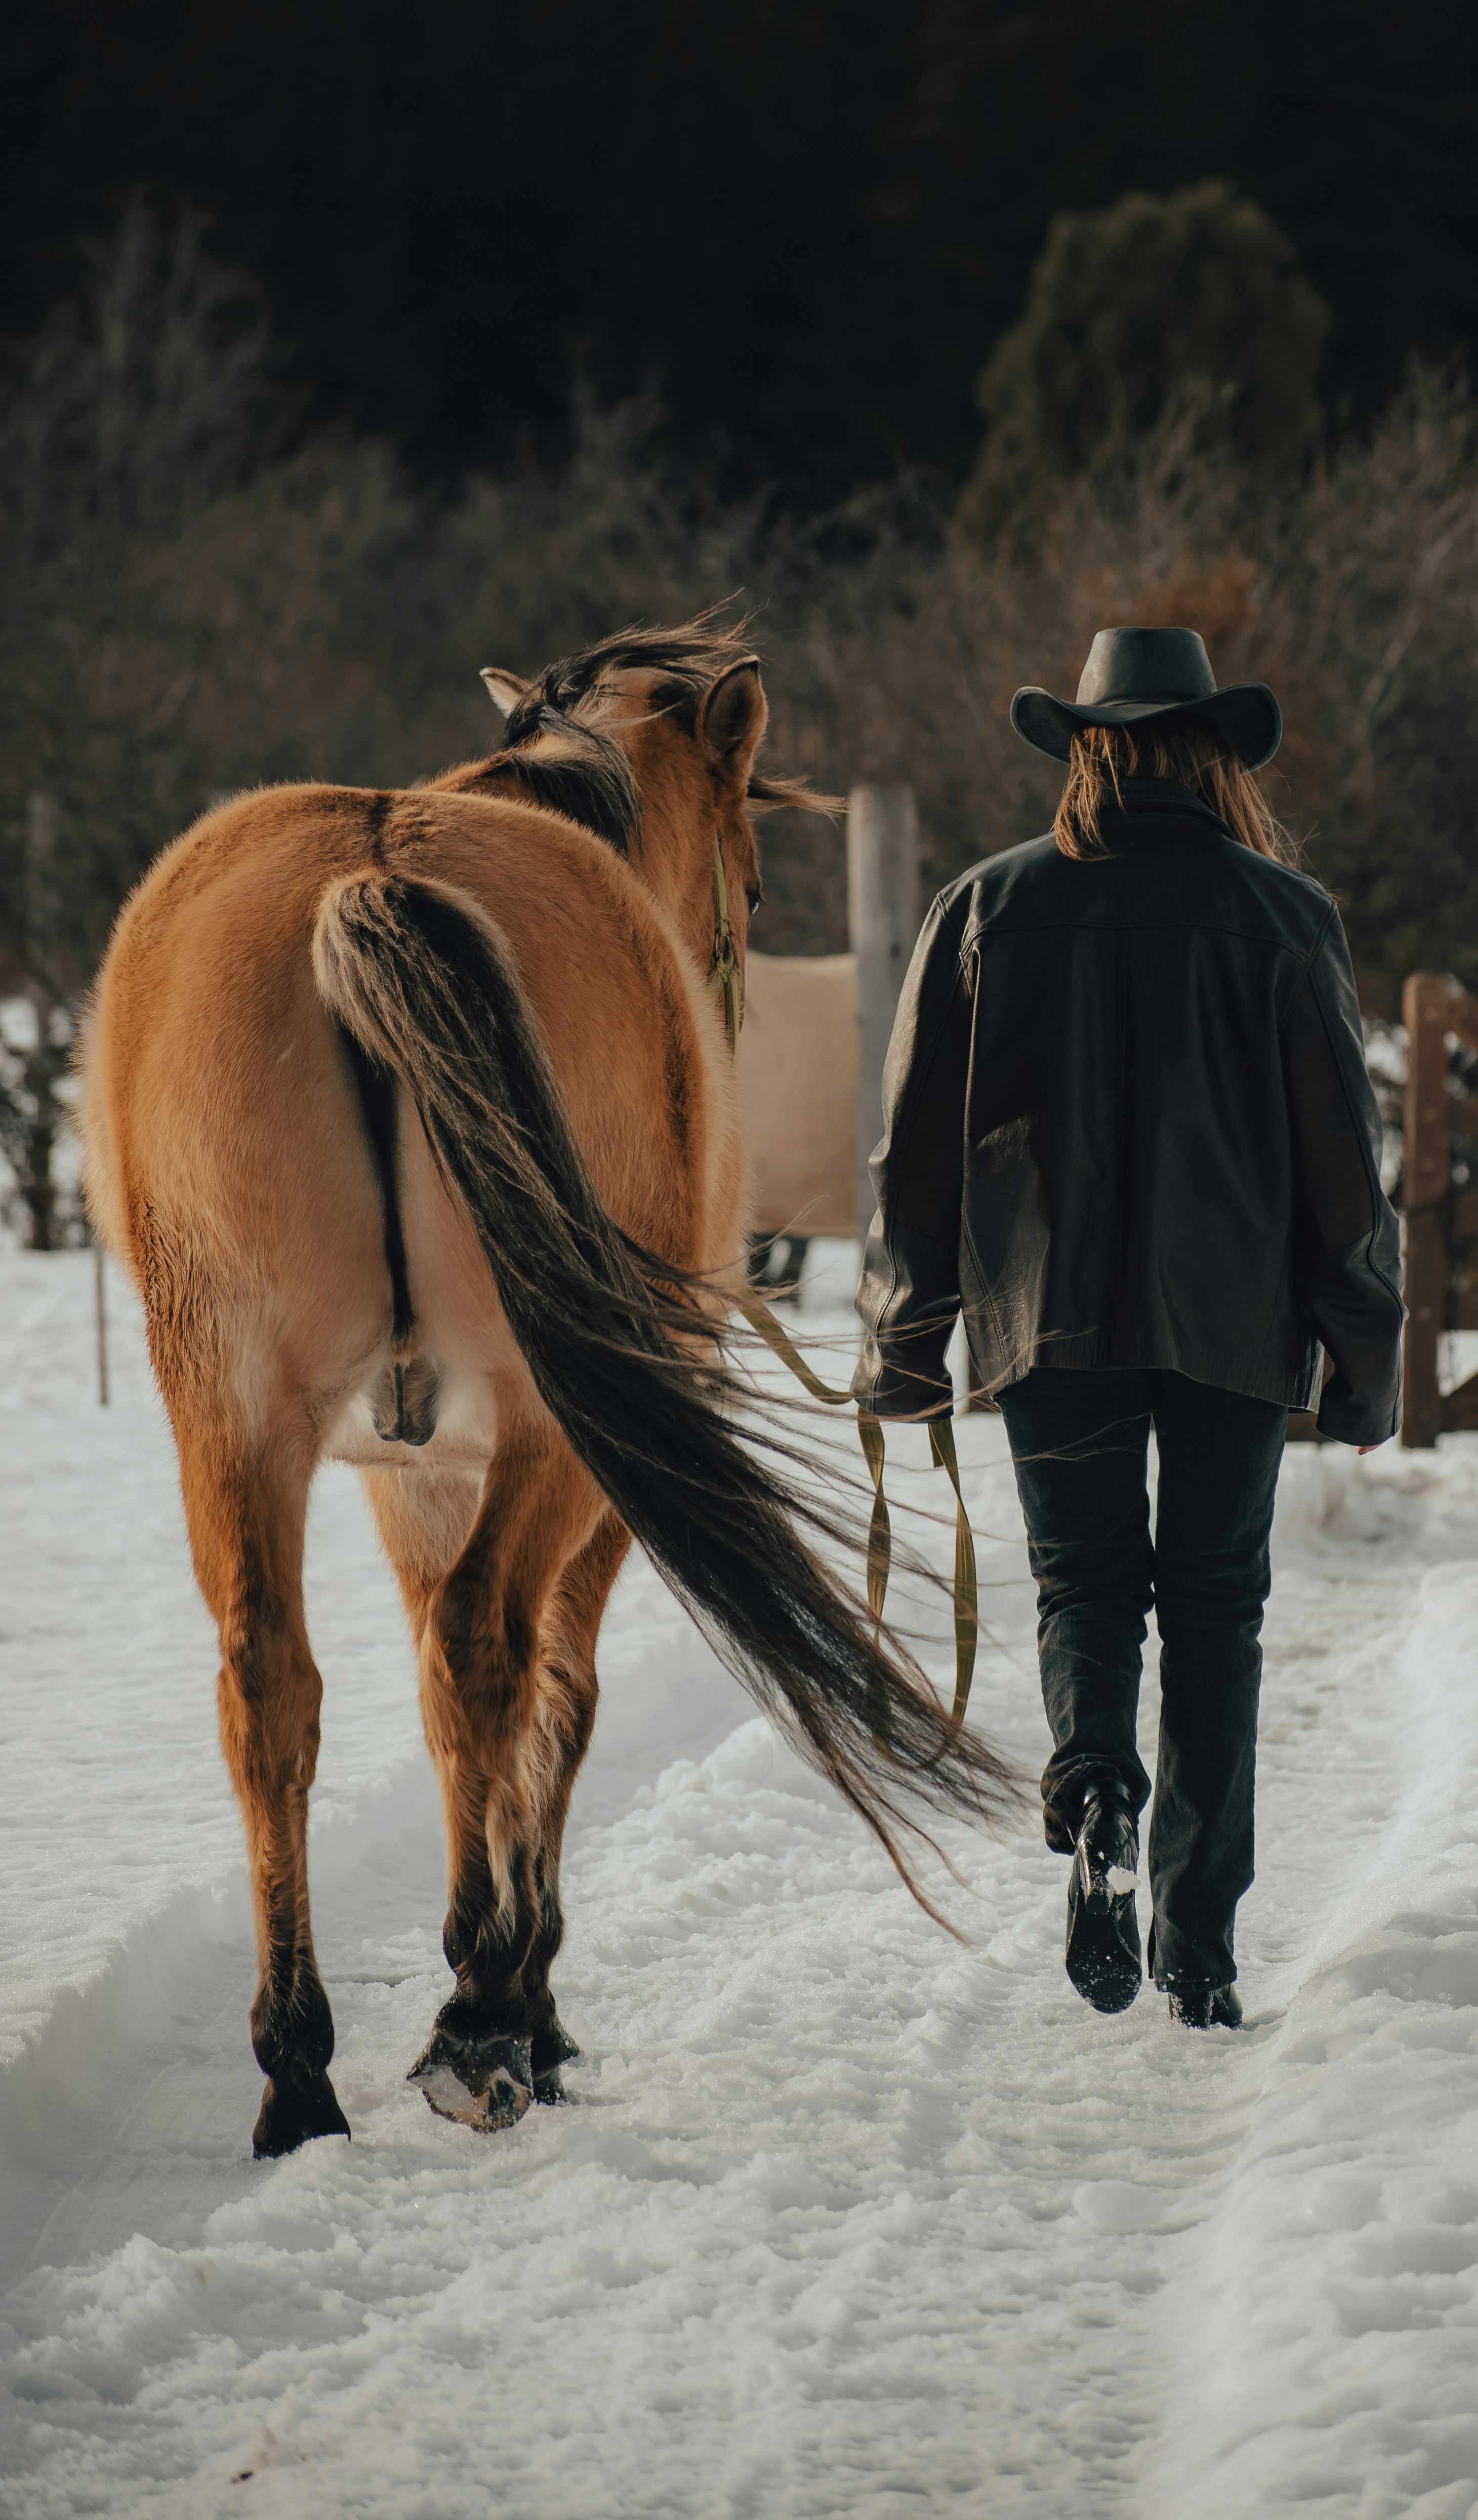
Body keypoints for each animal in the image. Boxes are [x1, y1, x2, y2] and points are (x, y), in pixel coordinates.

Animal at [80, 618, 1018, 2160]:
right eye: (751, 877)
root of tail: (369, 878)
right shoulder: (572, 1477)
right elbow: (557, 1699)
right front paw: (527, 1997)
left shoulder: (419, 1474)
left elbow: (433, 1692)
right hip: (539, 1430)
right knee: (490, 1651)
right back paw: (475, 2021)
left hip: (230, 1414)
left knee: (275, 1686)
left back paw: (301, 2076)